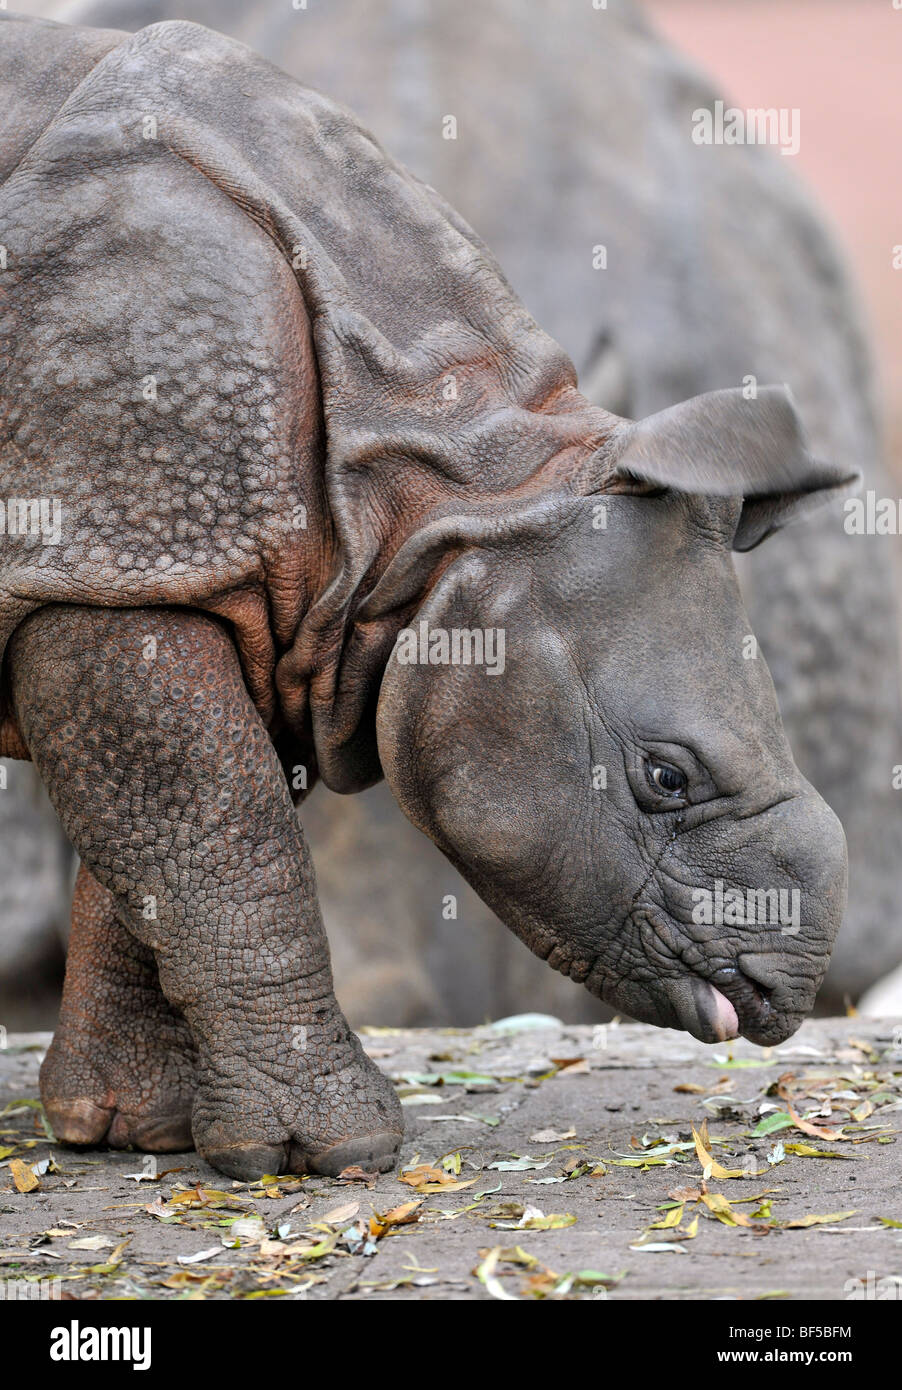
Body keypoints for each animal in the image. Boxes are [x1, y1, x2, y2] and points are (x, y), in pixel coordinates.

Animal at [0, 11, 855, 1177]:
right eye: (664, 778)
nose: (786, 990)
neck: (449, 488)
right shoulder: (118, 553)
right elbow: (224, 836)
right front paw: (325, 1152)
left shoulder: (186, 573)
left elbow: (158, 851)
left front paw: (129, 1127)